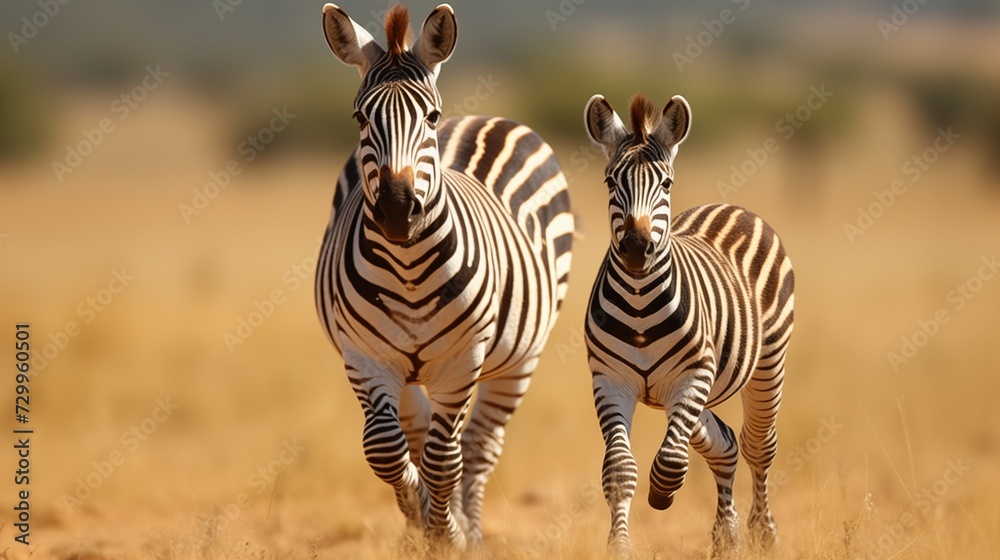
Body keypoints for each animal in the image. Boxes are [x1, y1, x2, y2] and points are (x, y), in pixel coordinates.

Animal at [314, 3, 573, 550]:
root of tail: (471, 116)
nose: (397, 211)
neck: (409, 270)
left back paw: (470, 529)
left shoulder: (462, 363)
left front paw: (447, 532)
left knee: (476, 446)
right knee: (418, 435)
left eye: (429, 117)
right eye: (360, 117)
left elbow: (443, 458)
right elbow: (387, 450)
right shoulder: (365, 357)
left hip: (520, 359)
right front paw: (419, 515)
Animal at [582, 93, 794, 558]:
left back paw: (763, 532)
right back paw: (726, 536)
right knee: (726, 445)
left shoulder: (693, 375)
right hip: (684, 389)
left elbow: (672, 459)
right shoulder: (610, 379)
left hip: (765, 365)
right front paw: (619, 545)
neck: (640, 303)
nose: (636, 247)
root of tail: (730, 206)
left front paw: (662, 495)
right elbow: (619, 468)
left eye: (665, 184)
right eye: (610, 182)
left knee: (758, 446)